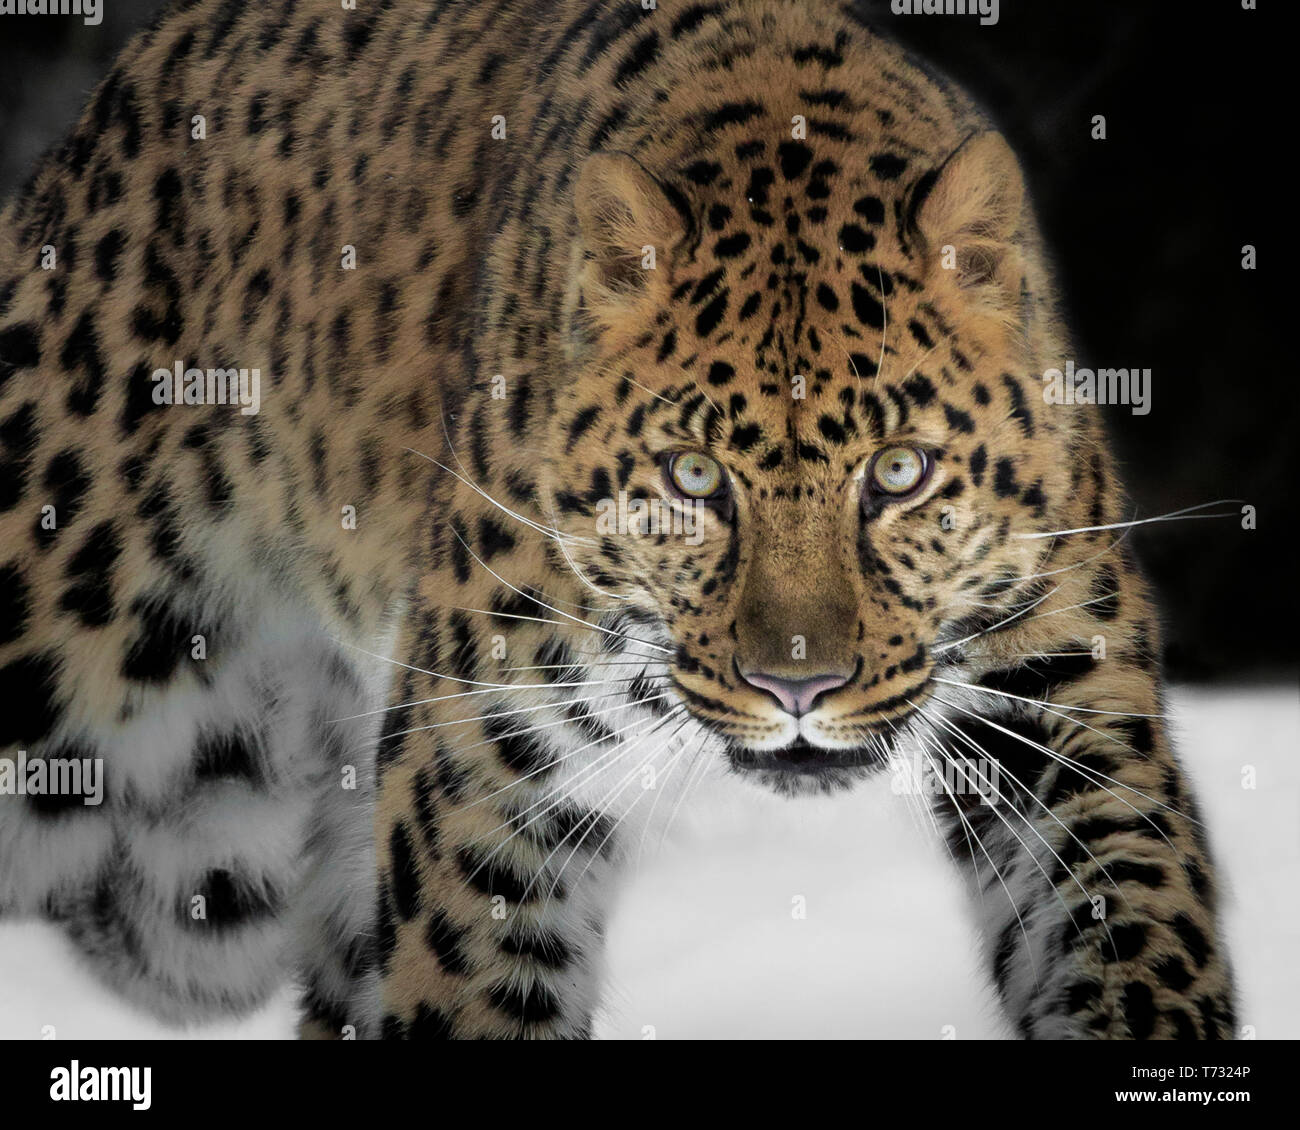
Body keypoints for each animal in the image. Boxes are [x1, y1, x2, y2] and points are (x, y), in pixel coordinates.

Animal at [0, 0, 1236, 1040]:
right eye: (692, 476)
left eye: (897, 471)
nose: (799, 686)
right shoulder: (487, 774)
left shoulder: (1068, 714)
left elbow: (1132, 924)